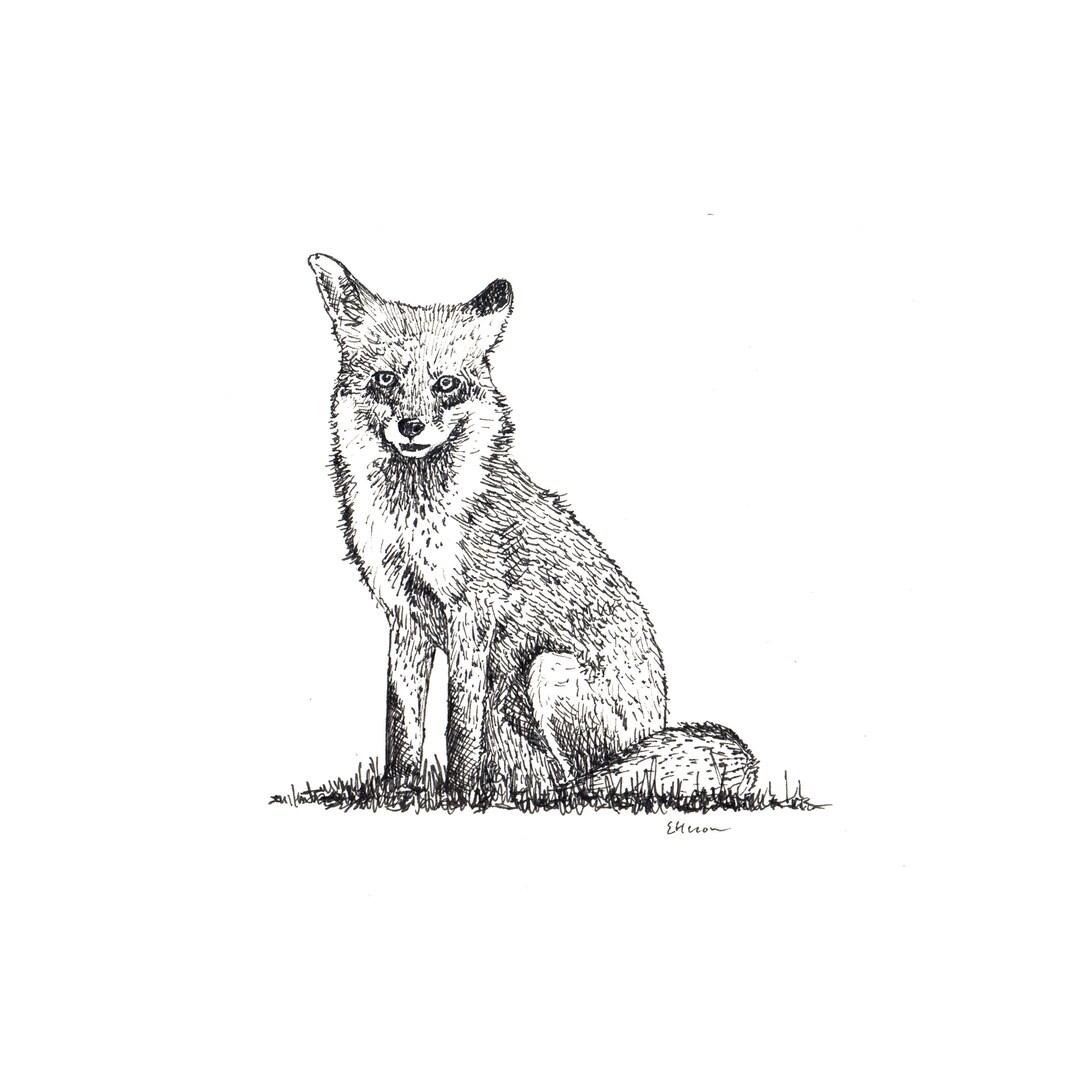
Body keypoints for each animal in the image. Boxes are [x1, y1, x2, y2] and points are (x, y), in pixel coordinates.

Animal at [308, 253, 758, 802]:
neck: (414, 518)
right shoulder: (406, 618)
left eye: (446, 385)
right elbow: (403, 720)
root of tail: (657, 722)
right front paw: (398, 793)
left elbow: (460, 723)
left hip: (544, 672)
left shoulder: (472, 615)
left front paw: (460, 796)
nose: (411, 427)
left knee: (581, 784)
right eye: (386, 379)